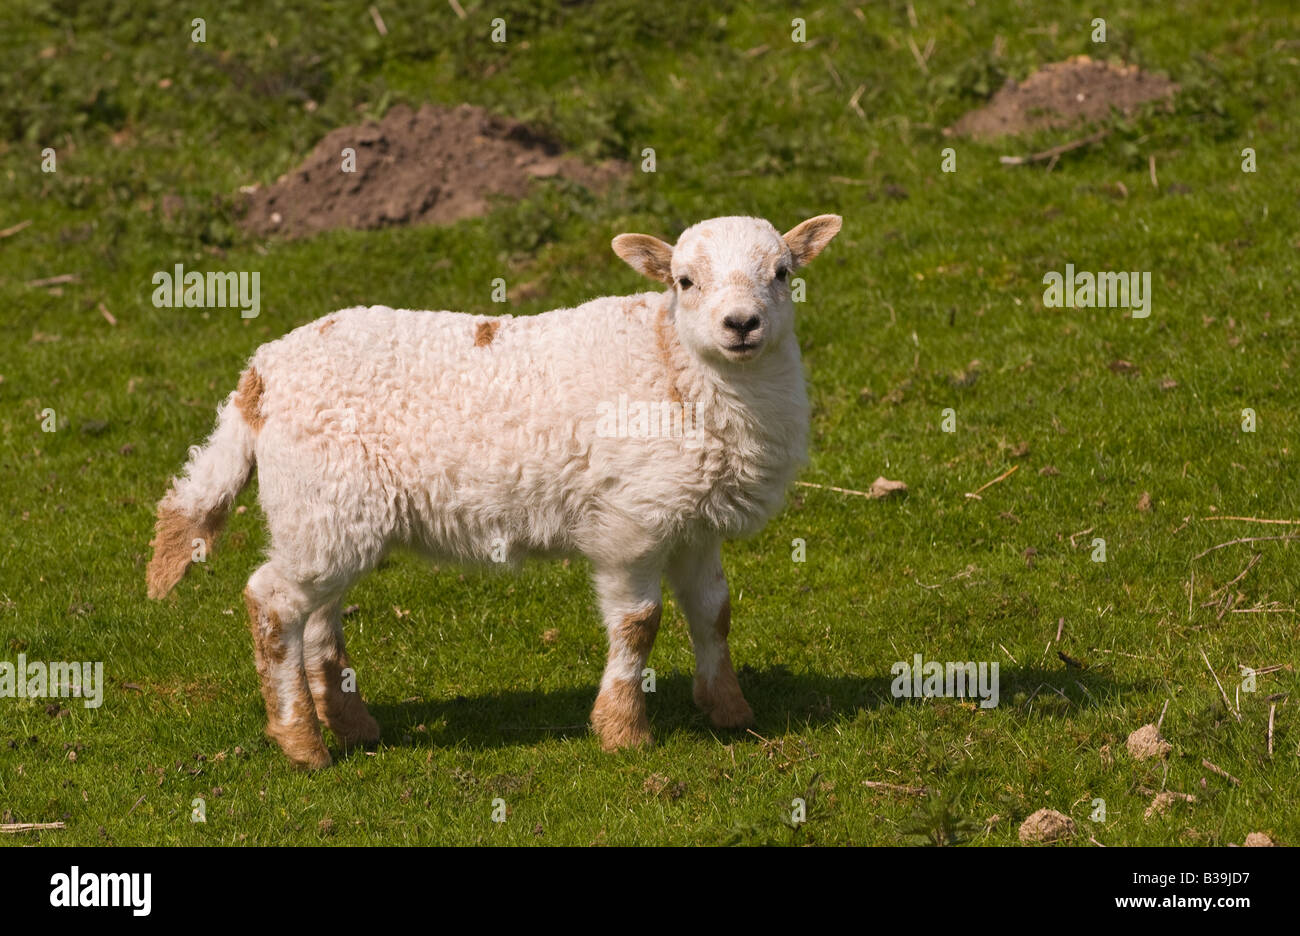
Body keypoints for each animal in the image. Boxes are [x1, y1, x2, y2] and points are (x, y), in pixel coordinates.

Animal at [146, 213, 842, 768]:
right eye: (683, 281)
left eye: (782, 272)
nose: (742, 324)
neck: (674, 366)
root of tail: (260, 376)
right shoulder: (631, 522)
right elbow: (639, 624)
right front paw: (622, 730)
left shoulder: (693, 518)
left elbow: (713, 611)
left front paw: (728, 709)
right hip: (323, 498)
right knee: (273, 604)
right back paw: (301, 744)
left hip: (329, 512)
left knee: (318, 615)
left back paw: (353, 726)